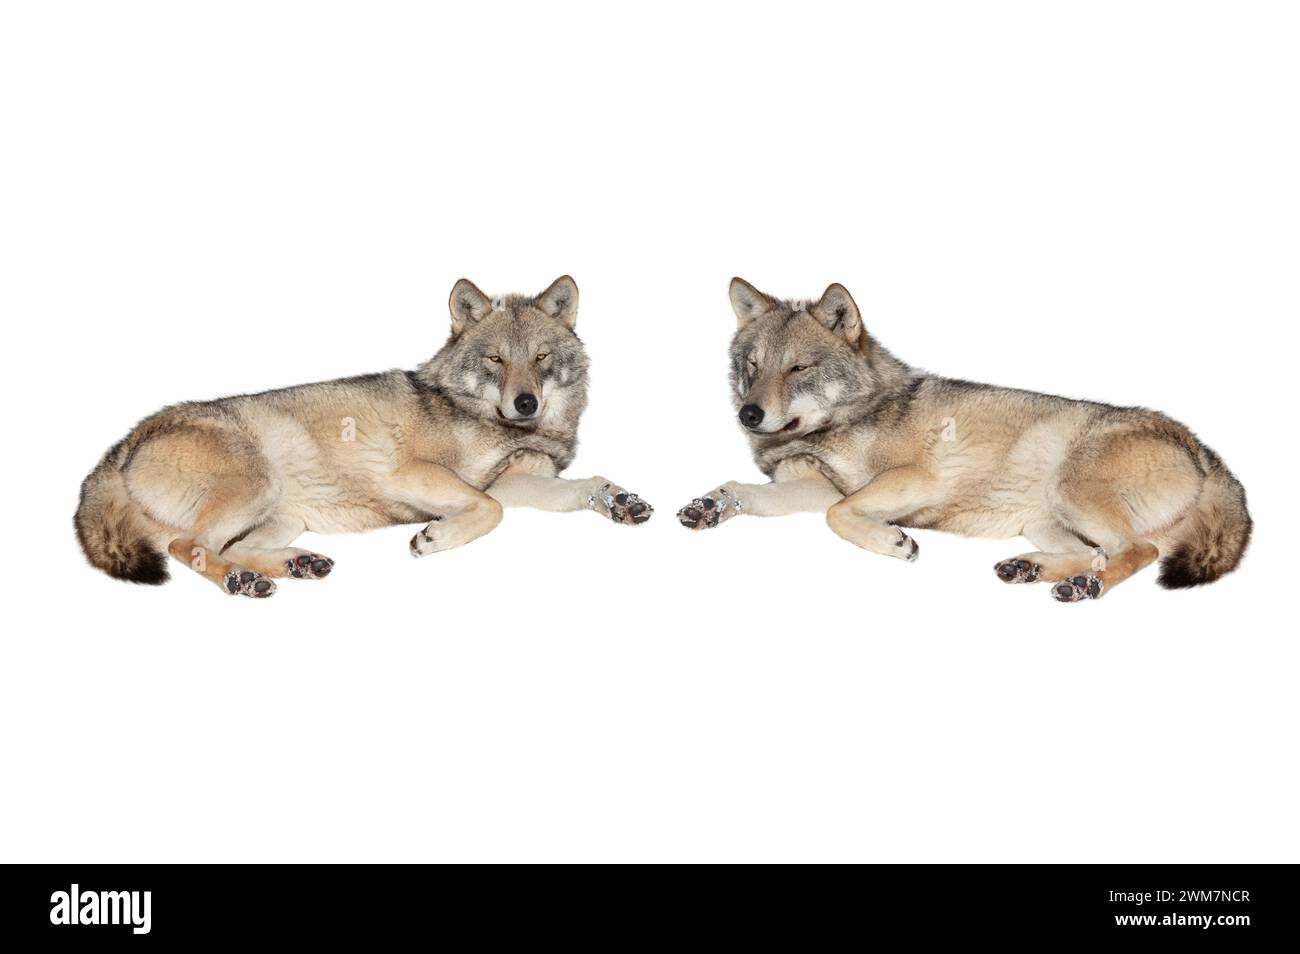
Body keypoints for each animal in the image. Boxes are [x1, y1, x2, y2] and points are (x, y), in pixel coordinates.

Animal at [75, 276, 652, 598]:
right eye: (495, 359)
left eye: (540, 358)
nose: (525, 403)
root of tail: (122, 445)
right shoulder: (418, 475)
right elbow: (490, 514)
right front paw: (433, 538)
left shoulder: (509, 482)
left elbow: (577, 488)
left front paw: (618, 500)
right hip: (256, 488)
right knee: (188, 546)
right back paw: (244, 582)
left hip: (281, 515)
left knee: (227, 547)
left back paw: (296, 565)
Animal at [676, 278, 1250, 601]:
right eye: (753, 366)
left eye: (798, 368)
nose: (749, 414)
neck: (844, 420)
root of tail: (1206, 452)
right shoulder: (817, 486)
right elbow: (753, 493)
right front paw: (712, 504)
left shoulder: (911, 480)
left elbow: (837, 518)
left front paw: (895, 542)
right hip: (1046, 521)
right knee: (1098, 553)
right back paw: (1028, 569)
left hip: (1071, 493)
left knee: (1137, 551)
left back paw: (1086, 587)